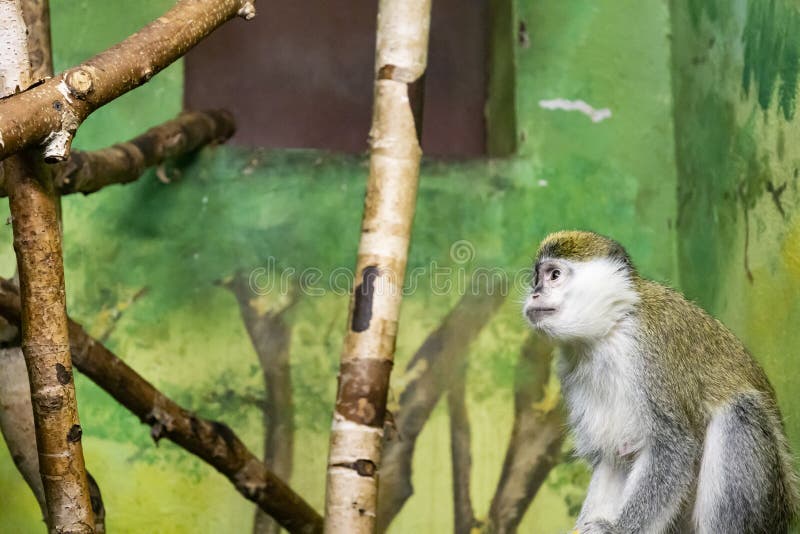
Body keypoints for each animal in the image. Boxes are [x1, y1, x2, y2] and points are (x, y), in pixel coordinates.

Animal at [522, 230, 797, 534]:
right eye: (537, 277)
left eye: (554, 275)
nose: (535, 293)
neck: (612, 327)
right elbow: (612, 458)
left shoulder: (652, 353)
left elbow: (672, 448)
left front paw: (616, 530)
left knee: (741, 412)